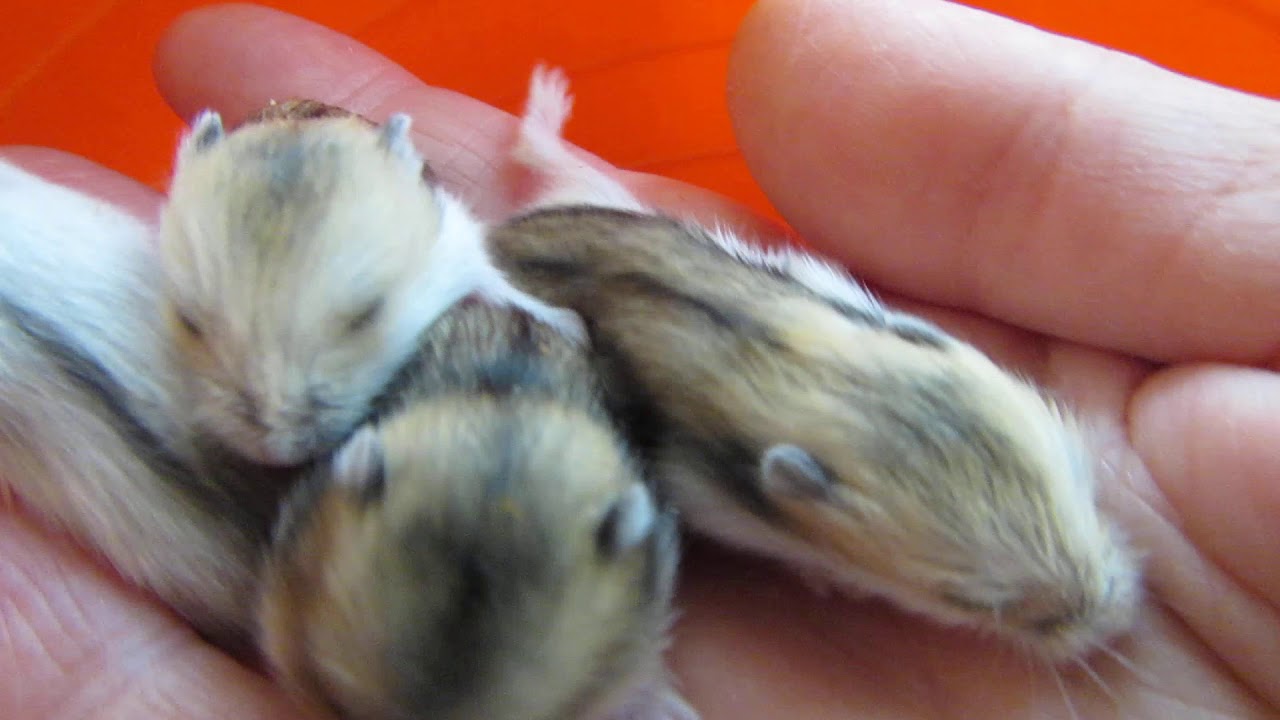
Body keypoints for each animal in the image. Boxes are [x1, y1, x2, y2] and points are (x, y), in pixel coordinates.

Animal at [157, 104, 585, 467]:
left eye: (368, 314)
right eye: (188, 321)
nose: (282, 453)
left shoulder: (459, 249)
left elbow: (501, 287)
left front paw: (574, 327)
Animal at [484, 66, 1142, 661]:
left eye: (1078, 480)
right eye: (974, 601)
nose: (1123, 618)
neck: (813, 378)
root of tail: (499, 238)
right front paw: (829, 580)